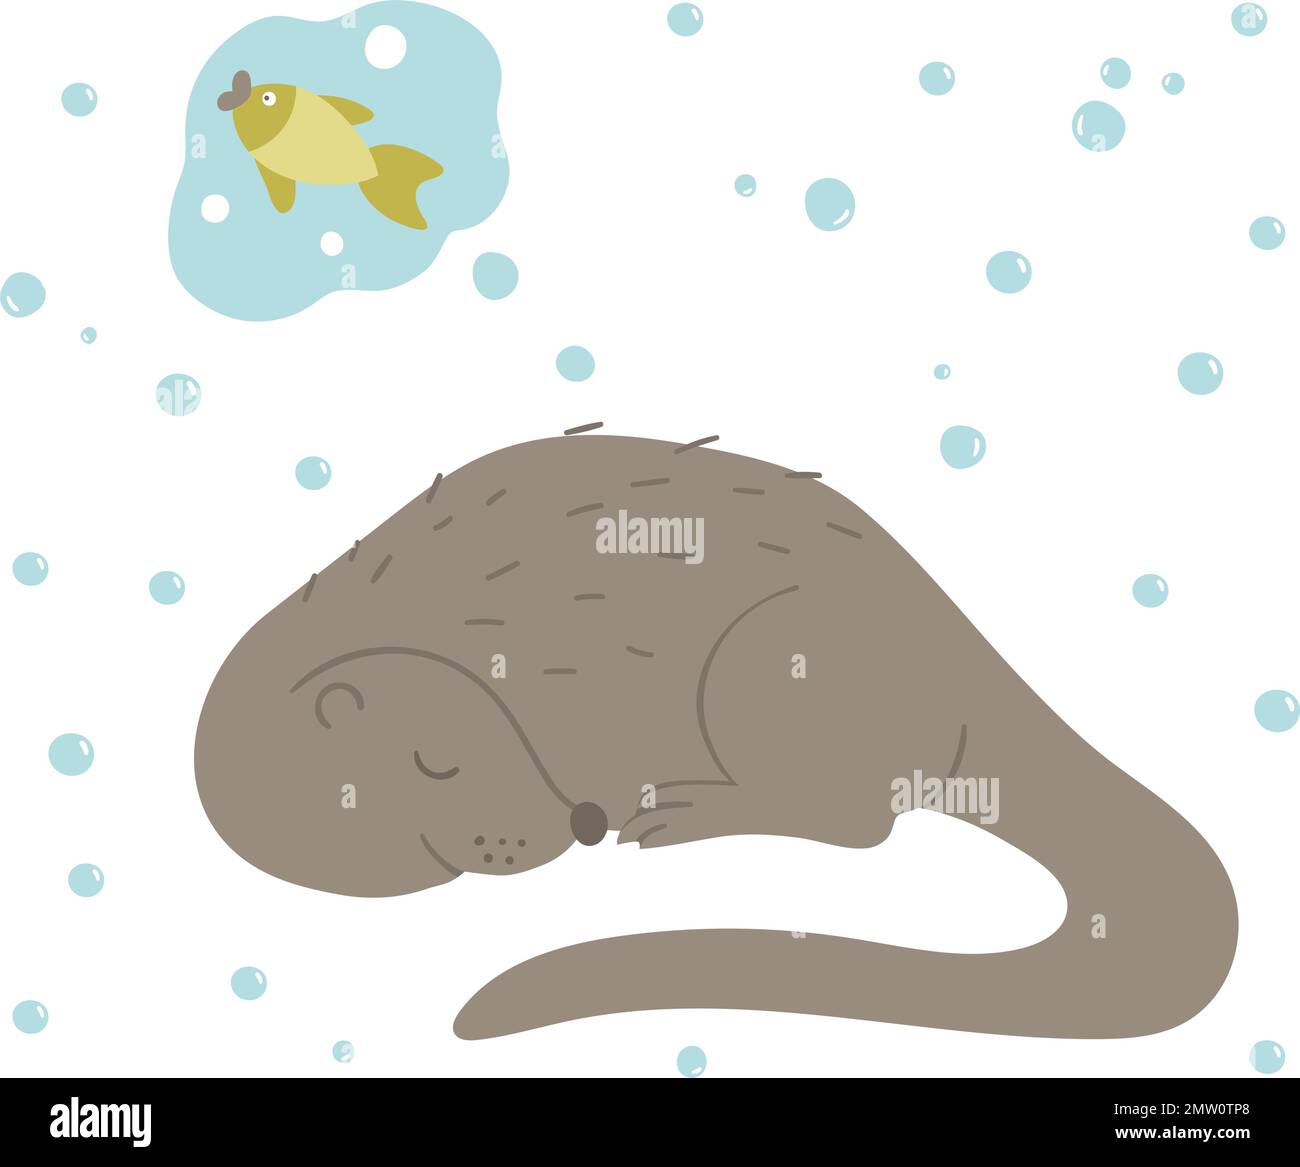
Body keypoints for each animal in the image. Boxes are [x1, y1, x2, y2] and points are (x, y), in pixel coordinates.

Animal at [194, 429, 1237, 1041]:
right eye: (415, 856)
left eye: (435, 759)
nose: (577, 823)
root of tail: (960, 666)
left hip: (767, 668)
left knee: (859, 822)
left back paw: (686, 811)